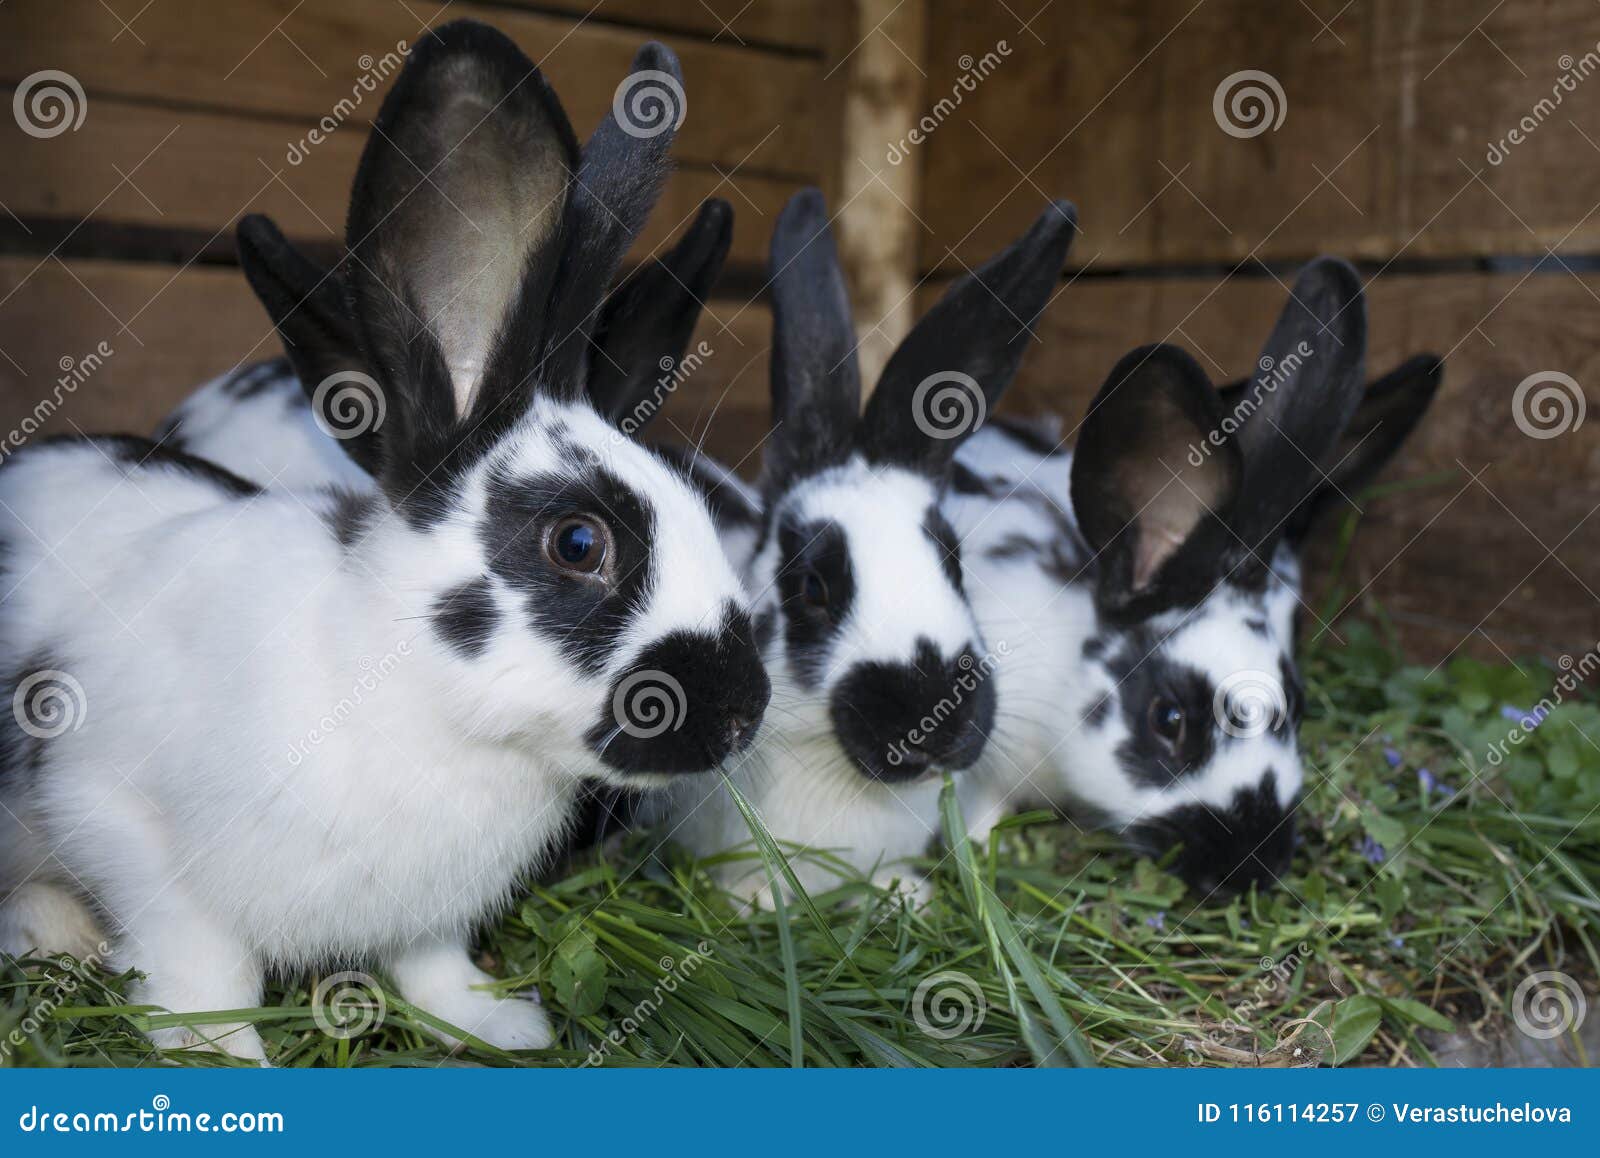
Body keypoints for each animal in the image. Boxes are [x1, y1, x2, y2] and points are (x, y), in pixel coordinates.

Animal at [0, 20, 769, 1062]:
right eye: (578, 543)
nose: (743, 712)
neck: (419, 696)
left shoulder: (429, 912)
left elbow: (431, 963)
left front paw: (499, 1024)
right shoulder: (126, 827)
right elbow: (205, 970)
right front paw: (223, 1060)